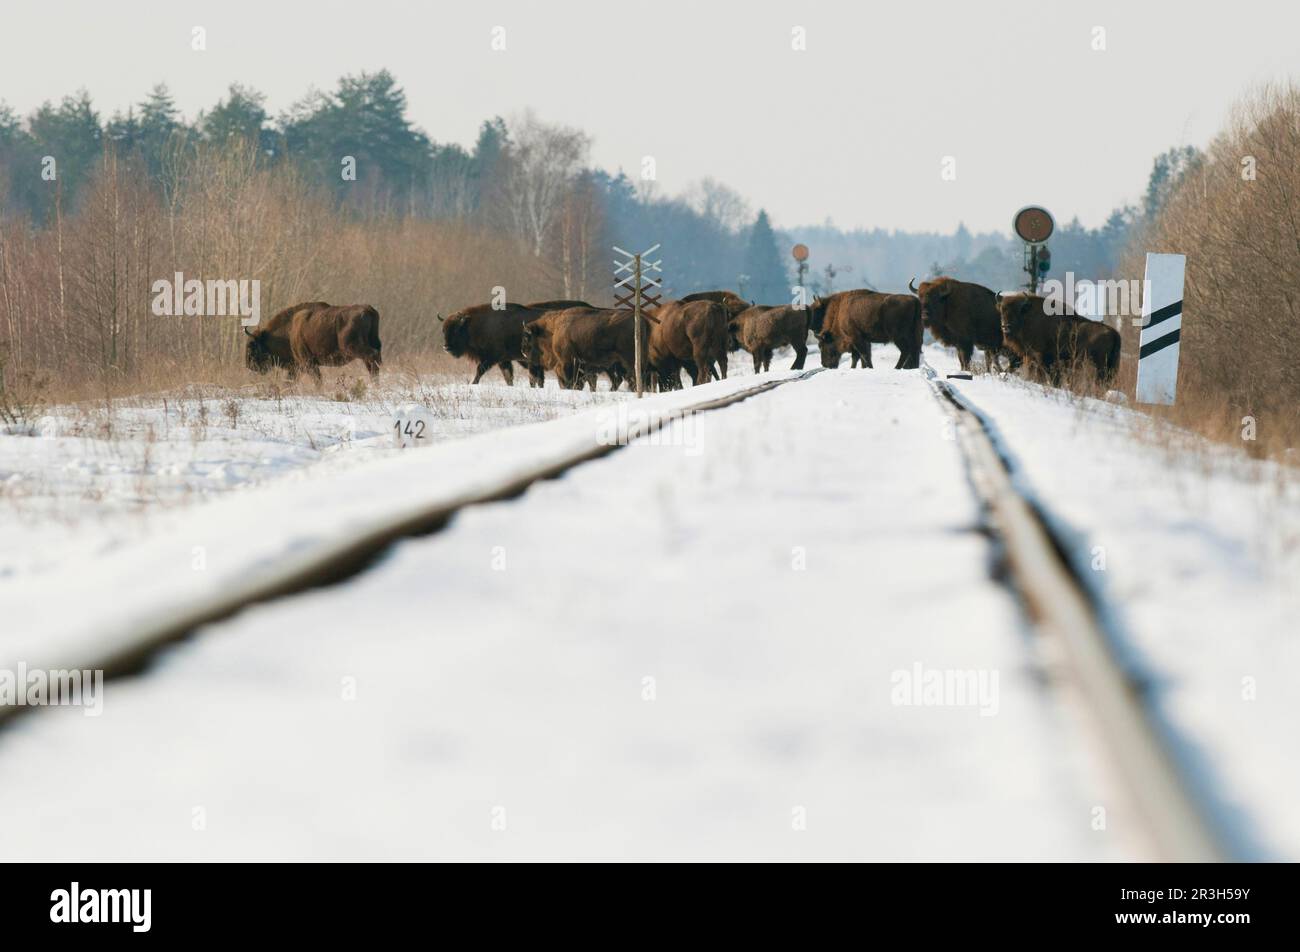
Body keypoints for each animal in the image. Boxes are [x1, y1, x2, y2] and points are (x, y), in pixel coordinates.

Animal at [246, 302, 381, 381]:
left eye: (251, 346)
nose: (249, 366)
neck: (290, 329)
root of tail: (368, 309)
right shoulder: (297, 367)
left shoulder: (307, 362)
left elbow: (317, 379)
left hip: (353, 348)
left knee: (373, 356)